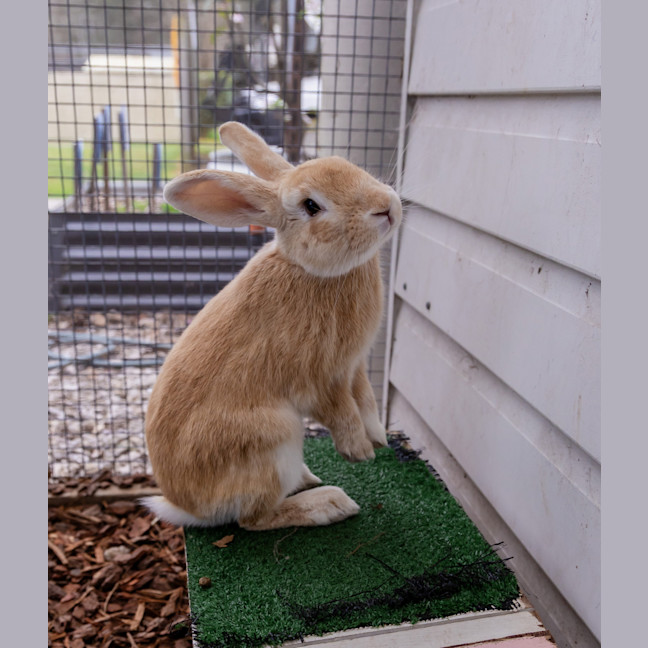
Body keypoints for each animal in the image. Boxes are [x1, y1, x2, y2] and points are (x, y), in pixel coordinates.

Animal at [143, 121, 402, 530]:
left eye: (347, 164)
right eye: (311, 206)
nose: (386, 207)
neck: (314, 271)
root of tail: (187, 507)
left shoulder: (354, 365)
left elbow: (366, 400)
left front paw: (378, 438)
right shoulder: (319, 377)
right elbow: (342, 410)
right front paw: (360, 451)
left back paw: (309, 479)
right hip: (275, 437)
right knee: (253, 519)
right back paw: (329, 503)